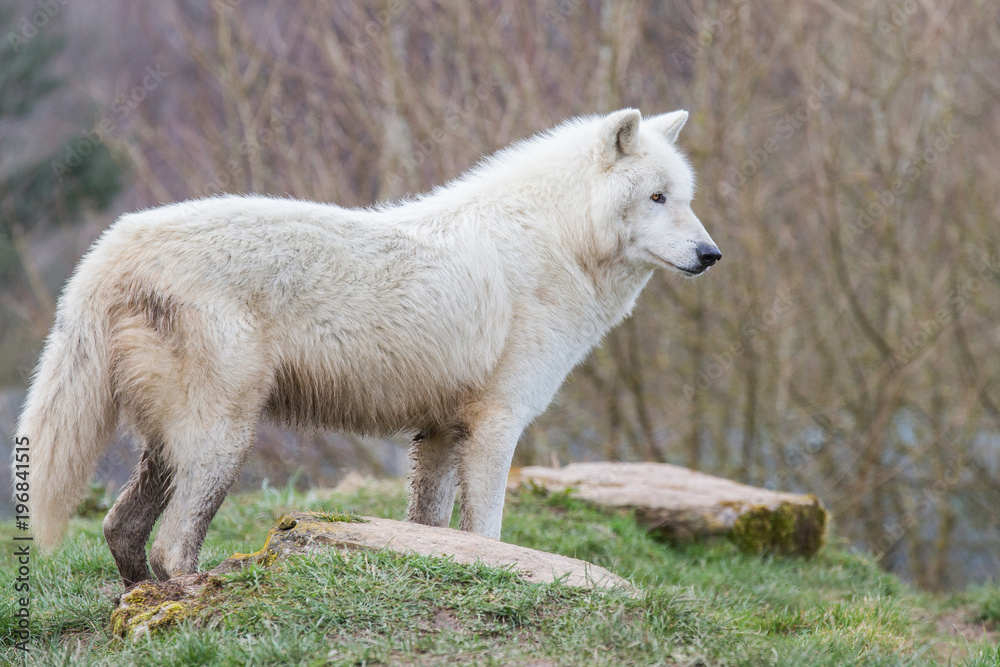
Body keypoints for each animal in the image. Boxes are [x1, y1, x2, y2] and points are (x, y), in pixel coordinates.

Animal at [16, 109, 720, 585]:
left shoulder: (440, 433)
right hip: (225, 438)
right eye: (656, 198)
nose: (711, 254)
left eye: (685, 199)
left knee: (121, 529)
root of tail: (110, 249)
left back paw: (141, 606)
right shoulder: (496, 427)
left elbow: (431, 528)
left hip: (178, 444)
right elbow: (488, 531)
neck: (558, 242)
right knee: (169, 545)